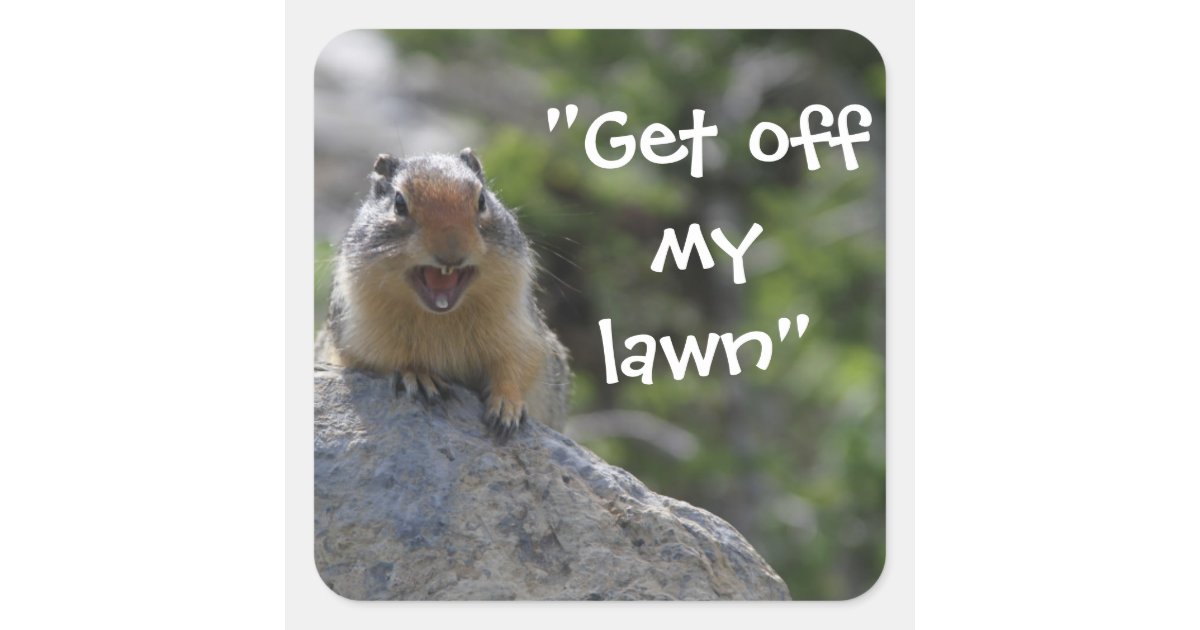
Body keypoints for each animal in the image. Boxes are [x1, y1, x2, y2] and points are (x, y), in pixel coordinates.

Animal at [316, 148, 571, 439]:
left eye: (482, 200)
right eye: (399, 203)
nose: (452, 252)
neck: (441, 317)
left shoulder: (521, 329)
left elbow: (517, 365)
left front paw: (507, 406)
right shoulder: (356, 334)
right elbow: (382, 359)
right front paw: (418, 375)